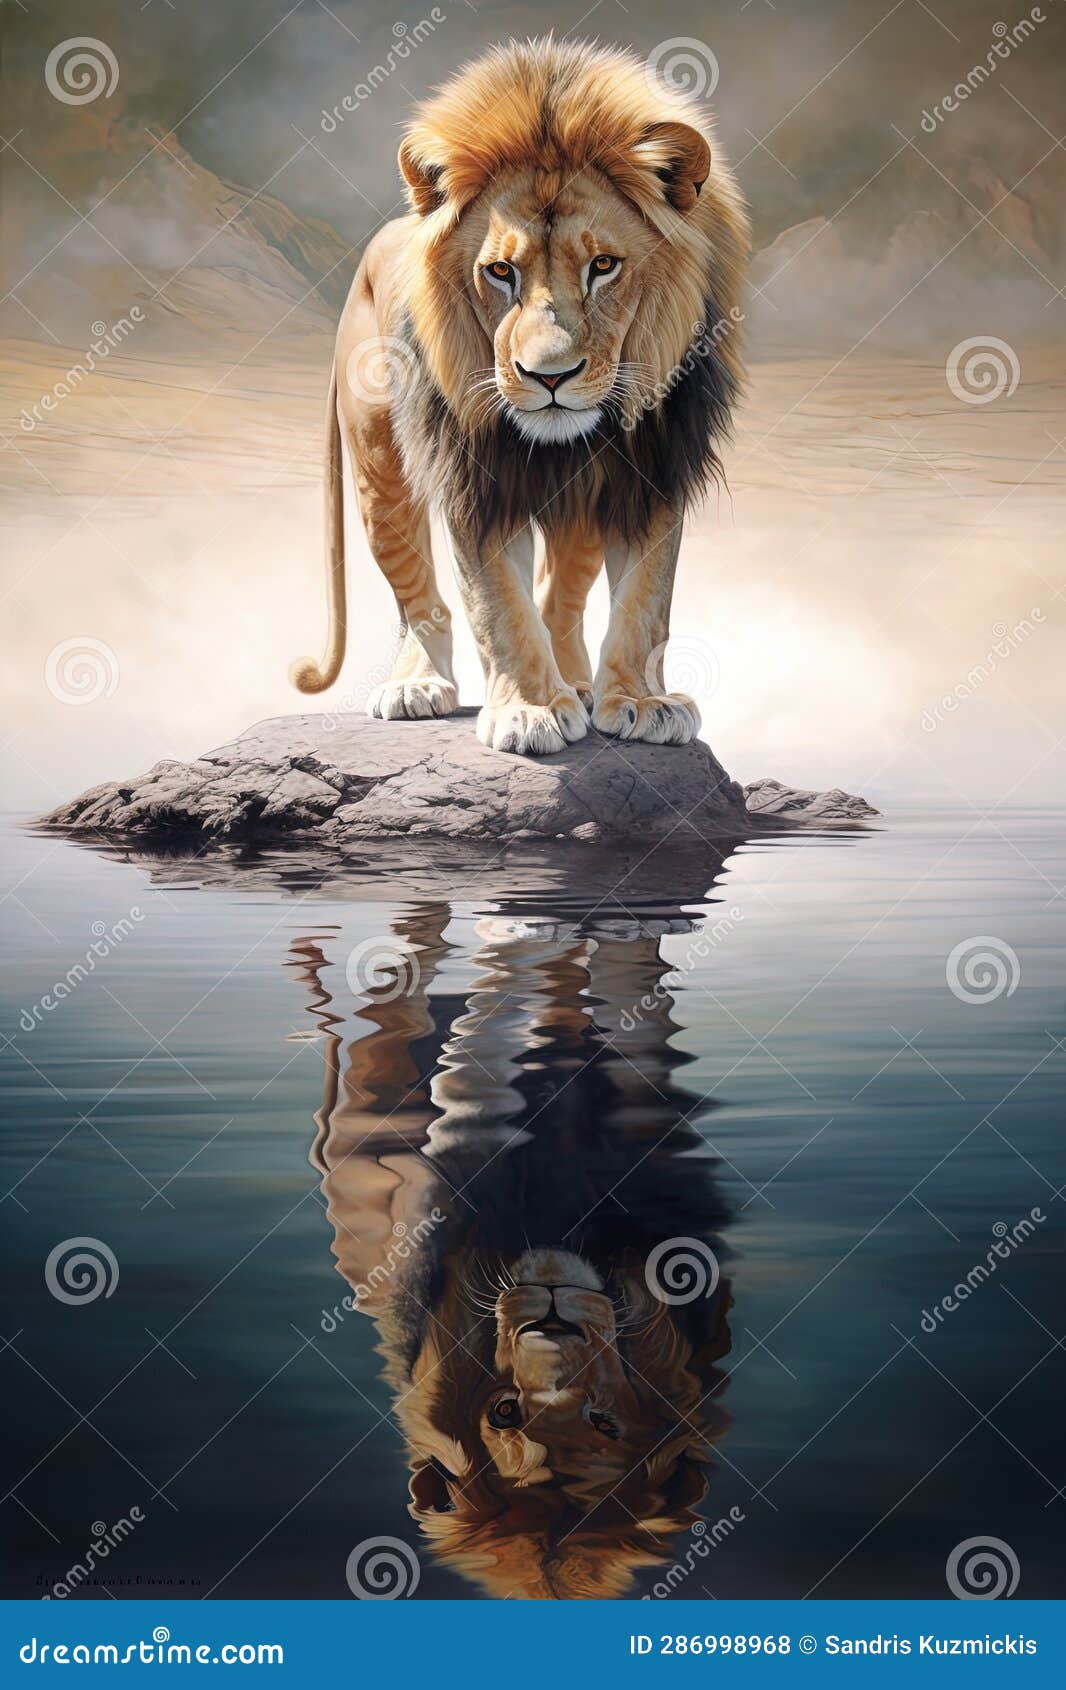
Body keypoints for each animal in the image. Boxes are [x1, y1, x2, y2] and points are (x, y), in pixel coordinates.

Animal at [289, 36, 749, 756]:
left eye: (604, 266)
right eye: (500, 271)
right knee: (420, 597)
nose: (550, 376)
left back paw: (580, 685)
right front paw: (530, 710)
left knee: (559, 597)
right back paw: (417, 684)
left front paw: (638, 701)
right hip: (378, 474)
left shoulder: (653, 471)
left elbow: (645, 601)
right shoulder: (476, 481)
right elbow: (497, 604)